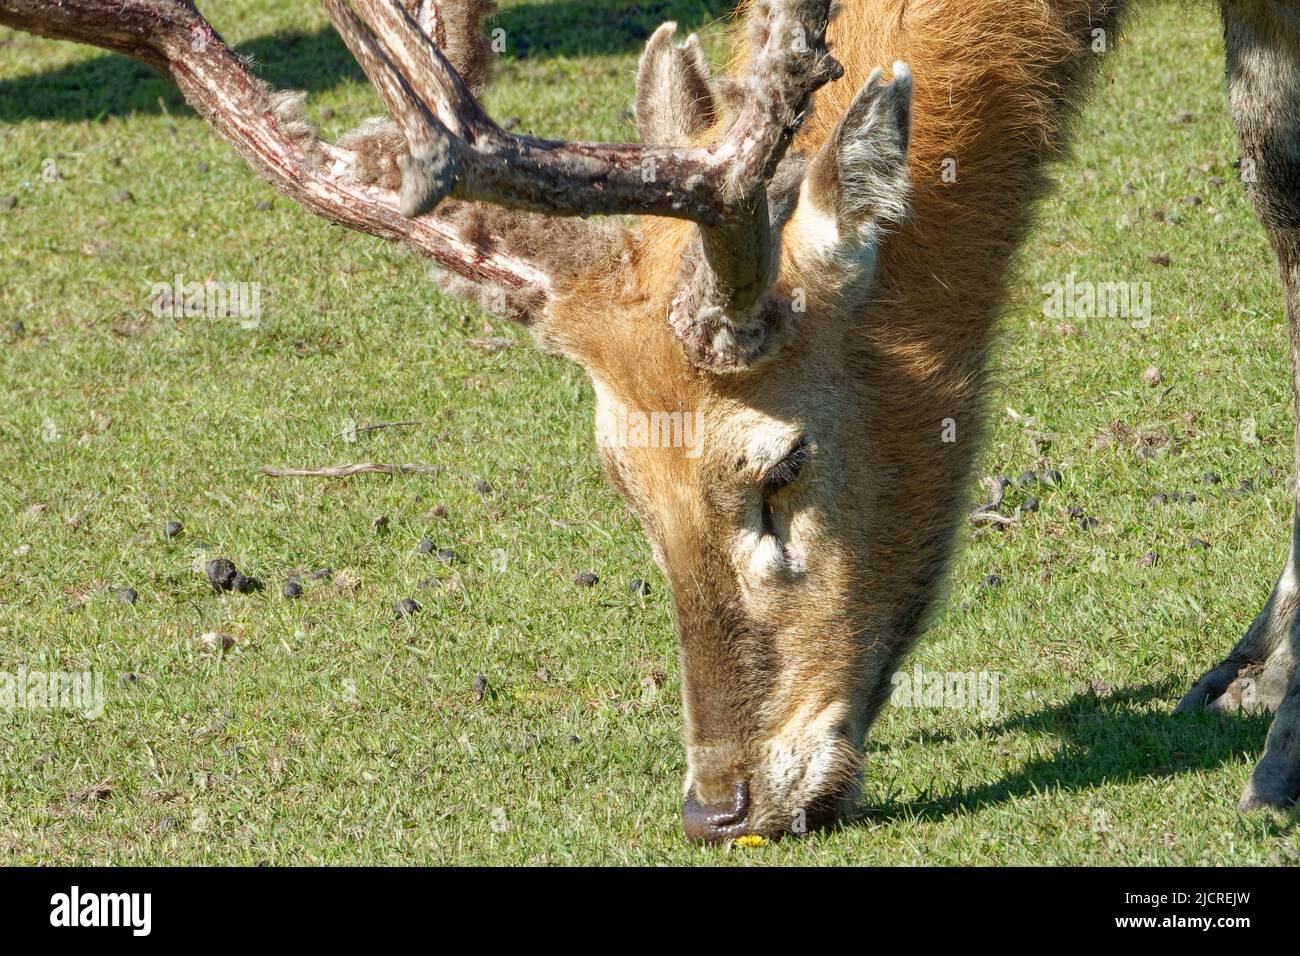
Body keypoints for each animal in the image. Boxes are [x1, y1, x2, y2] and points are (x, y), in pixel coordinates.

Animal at [3, 0, 1298, 843]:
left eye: (782, 465)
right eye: (620, 482)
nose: (717, 804)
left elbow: (1272, 171)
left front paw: (1275, 741)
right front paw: (1252, 673)